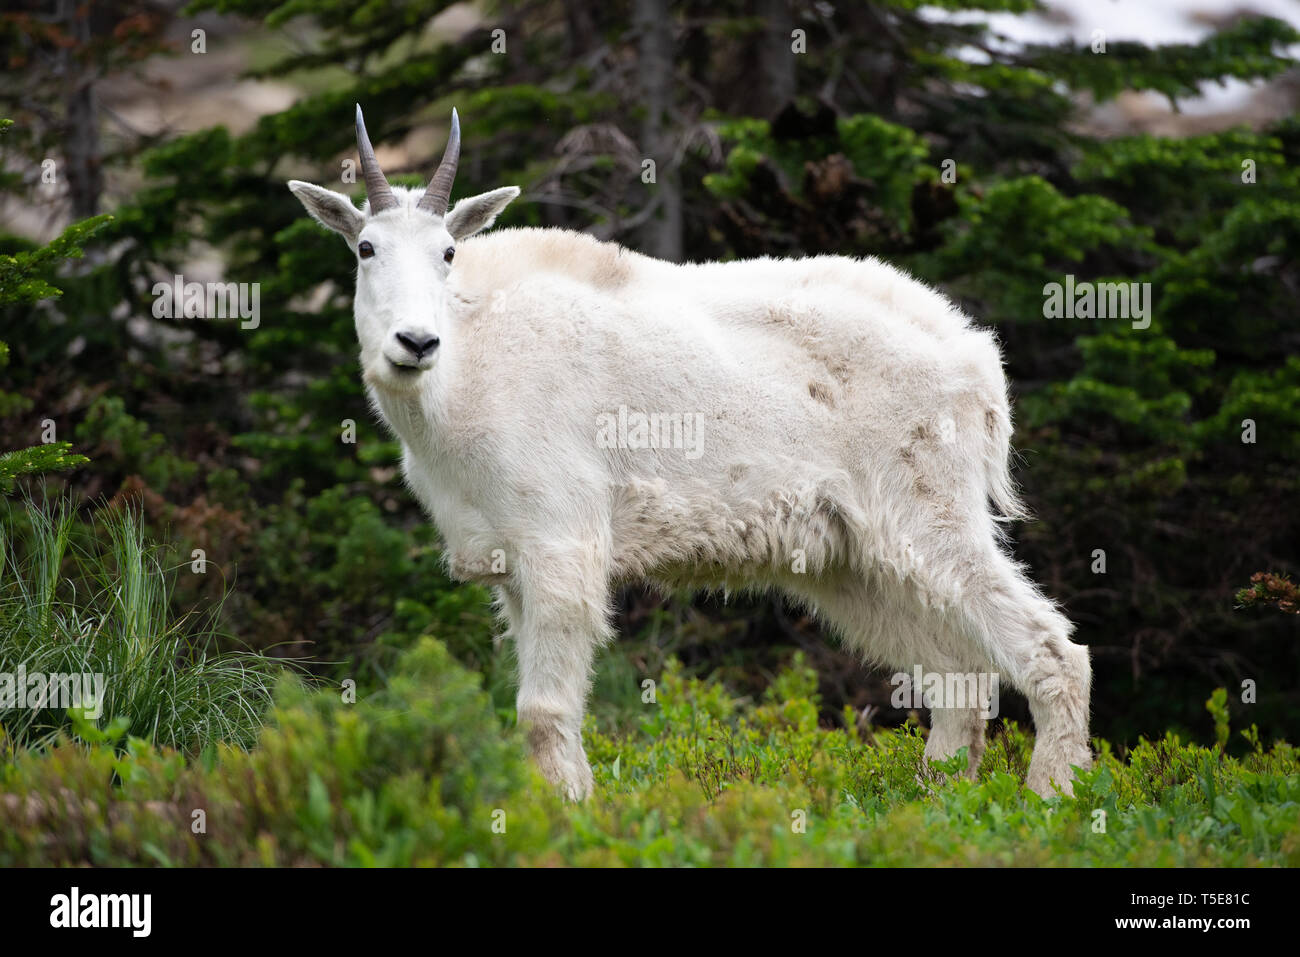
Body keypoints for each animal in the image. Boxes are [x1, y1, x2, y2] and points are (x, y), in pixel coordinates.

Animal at [288, 107, 1093, 800]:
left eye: (448, 253)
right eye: (365, 248)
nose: (415, 341)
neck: (464, 376)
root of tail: (976, 359)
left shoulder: (560, 543)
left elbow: (542, 711)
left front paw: (569, 812)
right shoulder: (507, 563)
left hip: (931, 511)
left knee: (1048, 647)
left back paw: (1052, 794)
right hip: (853, 558)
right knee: (958, 673)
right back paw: (940, 798)